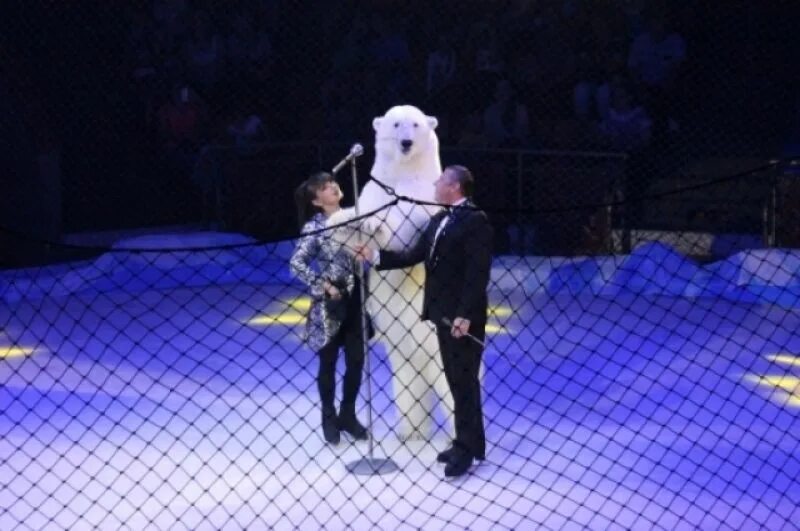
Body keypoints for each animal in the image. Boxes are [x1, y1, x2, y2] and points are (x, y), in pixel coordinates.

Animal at [328, 105, 454, 440]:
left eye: (416, 124)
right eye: (396, 124)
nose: (406, 143)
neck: (402, 175)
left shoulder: (422, 199)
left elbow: (404, 230)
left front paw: (376, 224)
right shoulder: (375, 190)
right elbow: (356, 218)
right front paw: (344, 221)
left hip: (435, 334)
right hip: (400, 337)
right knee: (409, 378)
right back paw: (411, 432)